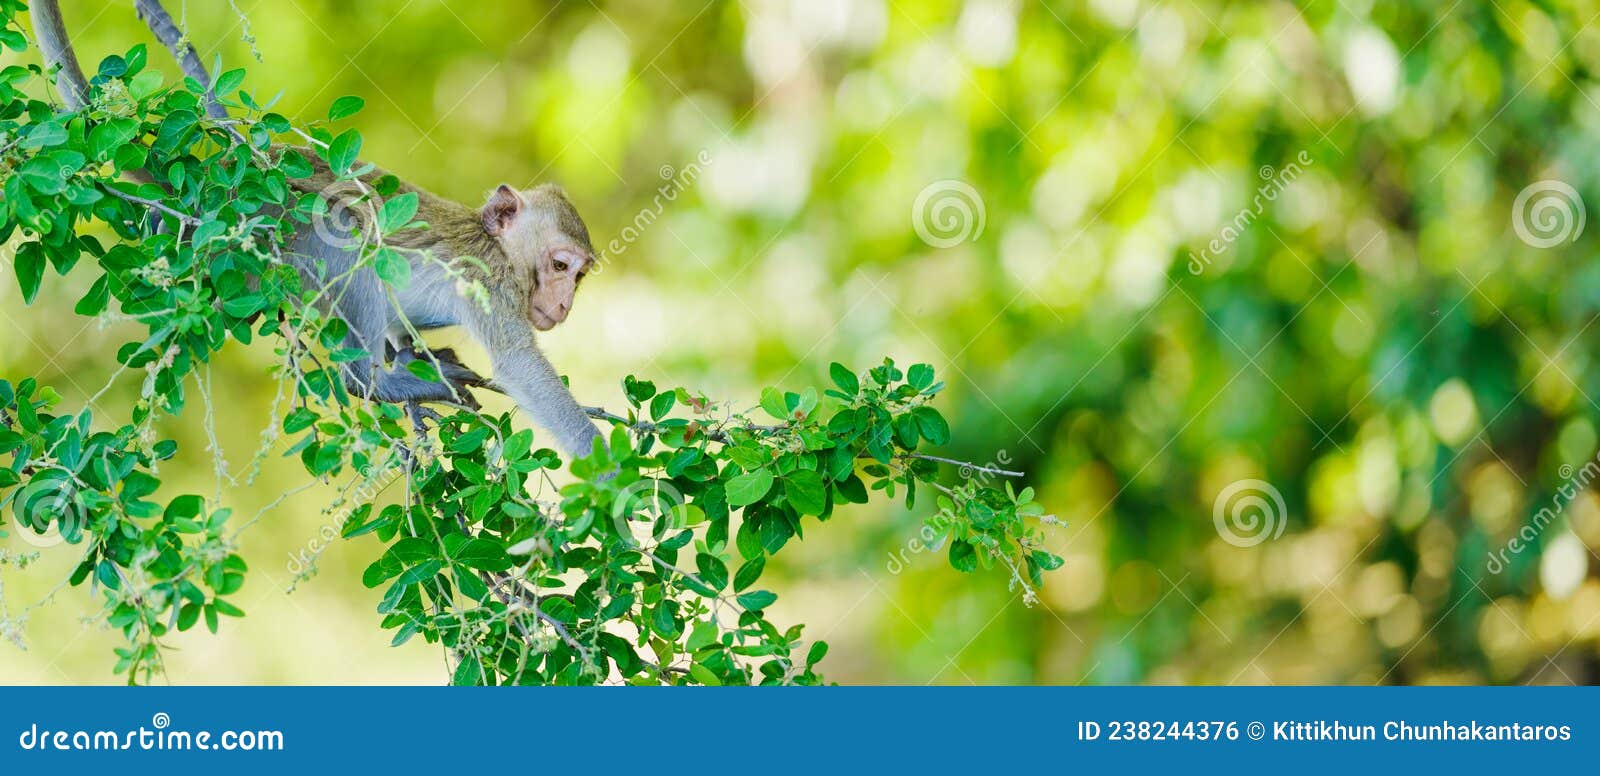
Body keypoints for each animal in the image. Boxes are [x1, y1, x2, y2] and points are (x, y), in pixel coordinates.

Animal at [282, 148, 604, 459]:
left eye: (579, 276)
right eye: (560, 265)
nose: (564, 305)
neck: (500, 248)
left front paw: (413, 354)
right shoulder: (490, 279)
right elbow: (519, 363)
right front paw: (606, 466)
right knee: (347, 233)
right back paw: (377, 381)